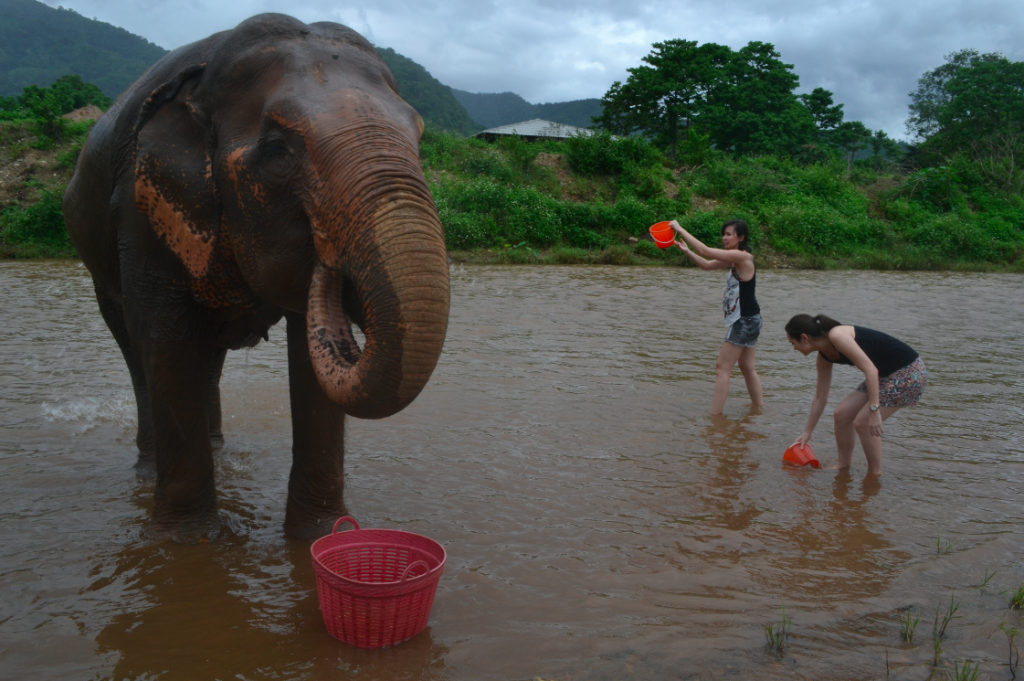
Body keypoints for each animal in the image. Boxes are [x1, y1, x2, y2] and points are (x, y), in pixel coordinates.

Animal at [63, 14, 450, 541]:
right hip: (99, 268)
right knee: (138, 350)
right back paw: (147, 472)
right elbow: (164, 338)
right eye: (277, 151)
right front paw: (187, 547)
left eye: (420, 137)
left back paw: (218, 448)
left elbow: (307, 357)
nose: (328, 254)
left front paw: (318, 536)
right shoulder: (139, 208)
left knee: (207, 356)